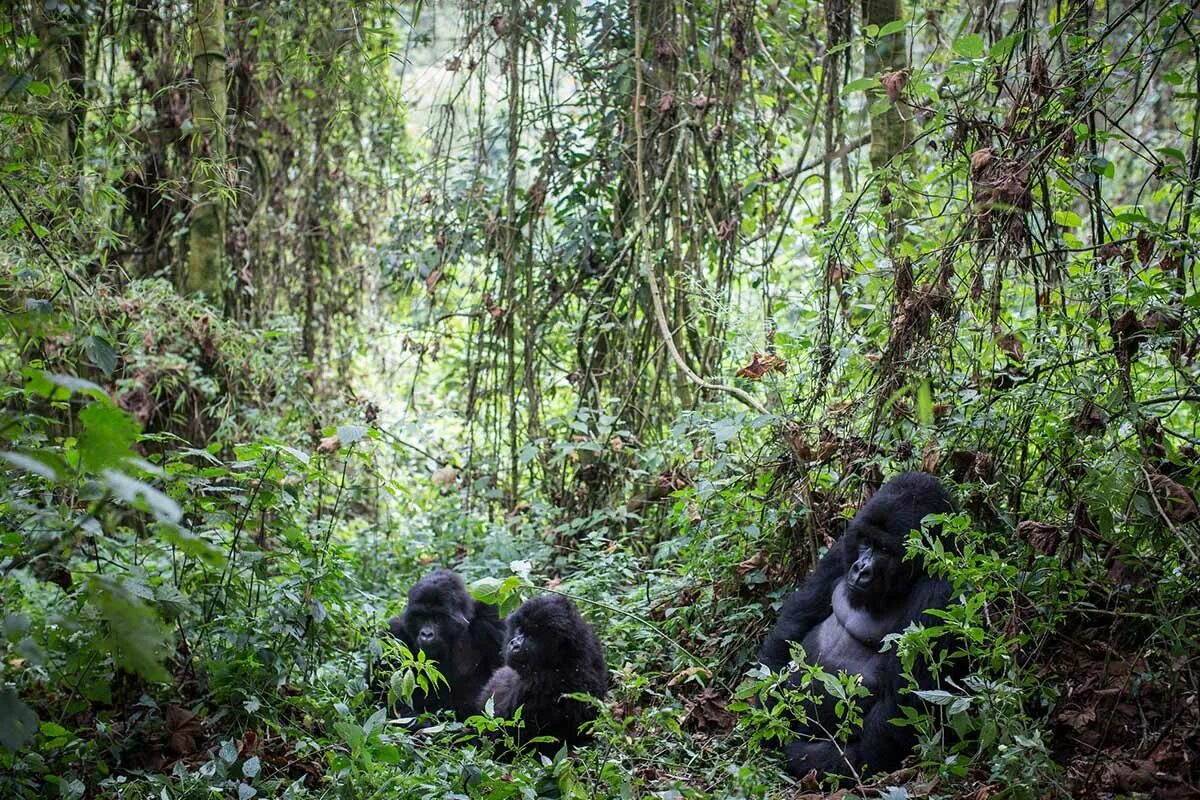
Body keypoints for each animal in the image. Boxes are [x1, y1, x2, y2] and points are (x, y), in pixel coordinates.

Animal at [372, 573, 508, 724]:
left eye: (437, 618)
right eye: (421, 617)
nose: (426, 634)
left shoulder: (491, 619)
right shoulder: (392, 635)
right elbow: (382, 695)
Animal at [477, 594, 609, 753]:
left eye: (532, 637)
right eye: (520, 629)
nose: (514, 644)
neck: (563, 656)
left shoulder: (539, 684)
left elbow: (498, 733)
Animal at [758, 472, 955, 786]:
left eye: (885, 549)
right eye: (866, 542)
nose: (861, 569)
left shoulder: (940, 592)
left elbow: (903, 702)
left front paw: (845, 763)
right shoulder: (843, 546)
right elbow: (795, 621)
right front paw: (766, 706)